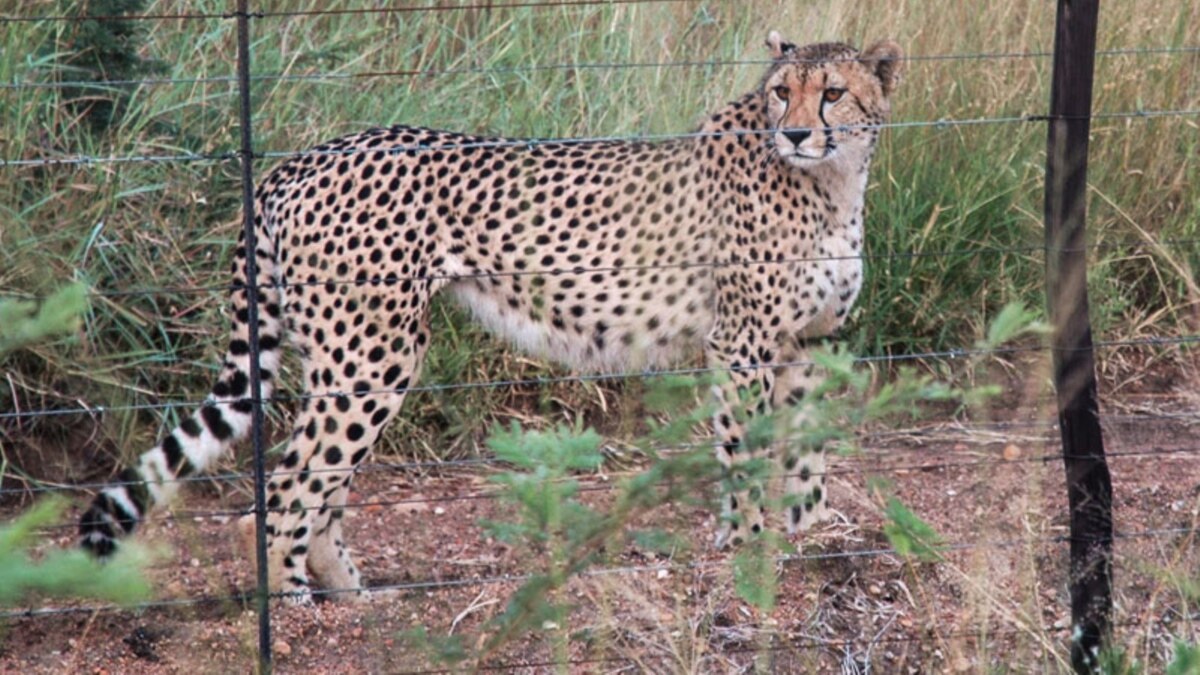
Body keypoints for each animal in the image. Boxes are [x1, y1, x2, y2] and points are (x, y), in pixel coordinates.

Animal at [79, 32, 904, 603]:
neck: (830, 180)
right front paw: (749, 545)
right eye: (781, 92)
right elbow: (746, 451)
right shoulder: (741, 343)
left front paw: (807, 535)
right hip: (373, 351)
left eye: (833, 92)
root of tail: (303, 157)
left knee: (325, 482)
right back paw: (296, 609)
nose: (795, 132)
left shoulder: (805, 342)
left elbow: (805, 450)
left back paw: (356, 598)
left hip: (348, 355)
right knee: (291, 480)